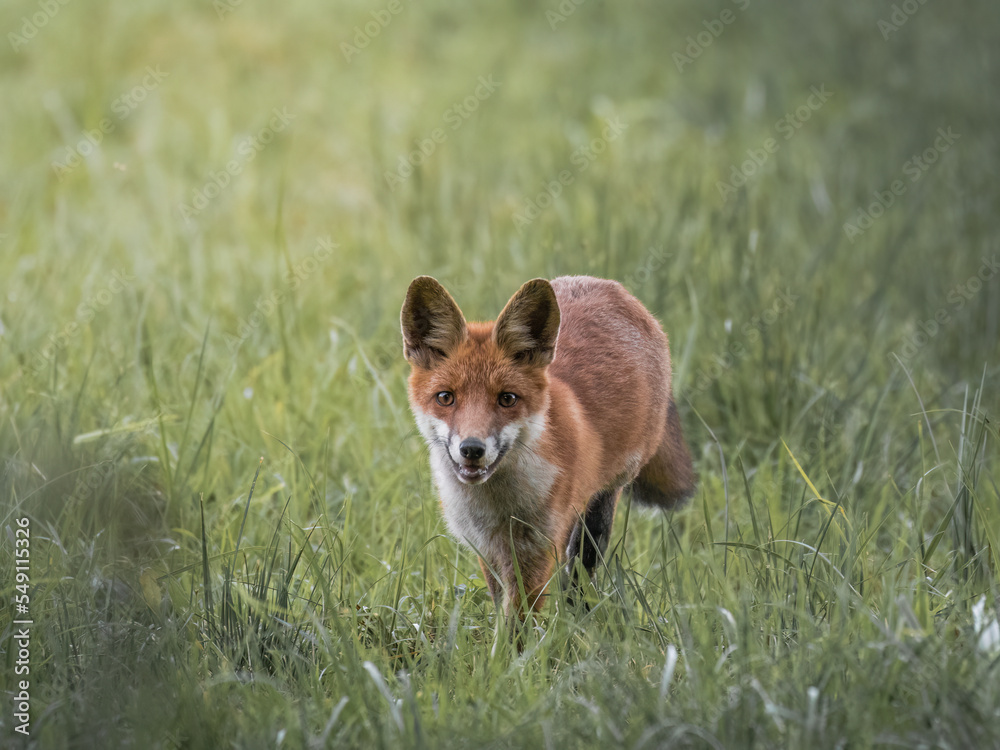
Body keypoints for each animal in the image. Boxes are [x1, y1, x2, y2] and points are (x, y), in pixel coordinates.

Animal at [401, 275, 695, 625]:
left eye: (507, 399)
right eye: (445, 398)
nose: (471, 449)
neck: (499, 507)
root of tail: (605, 284)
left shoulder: (536, 551)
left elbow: (516, 627)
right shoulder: (488, 548)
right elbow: (501, 608)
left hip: (603, 501)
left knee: (580, 569)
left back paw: (580, 620)